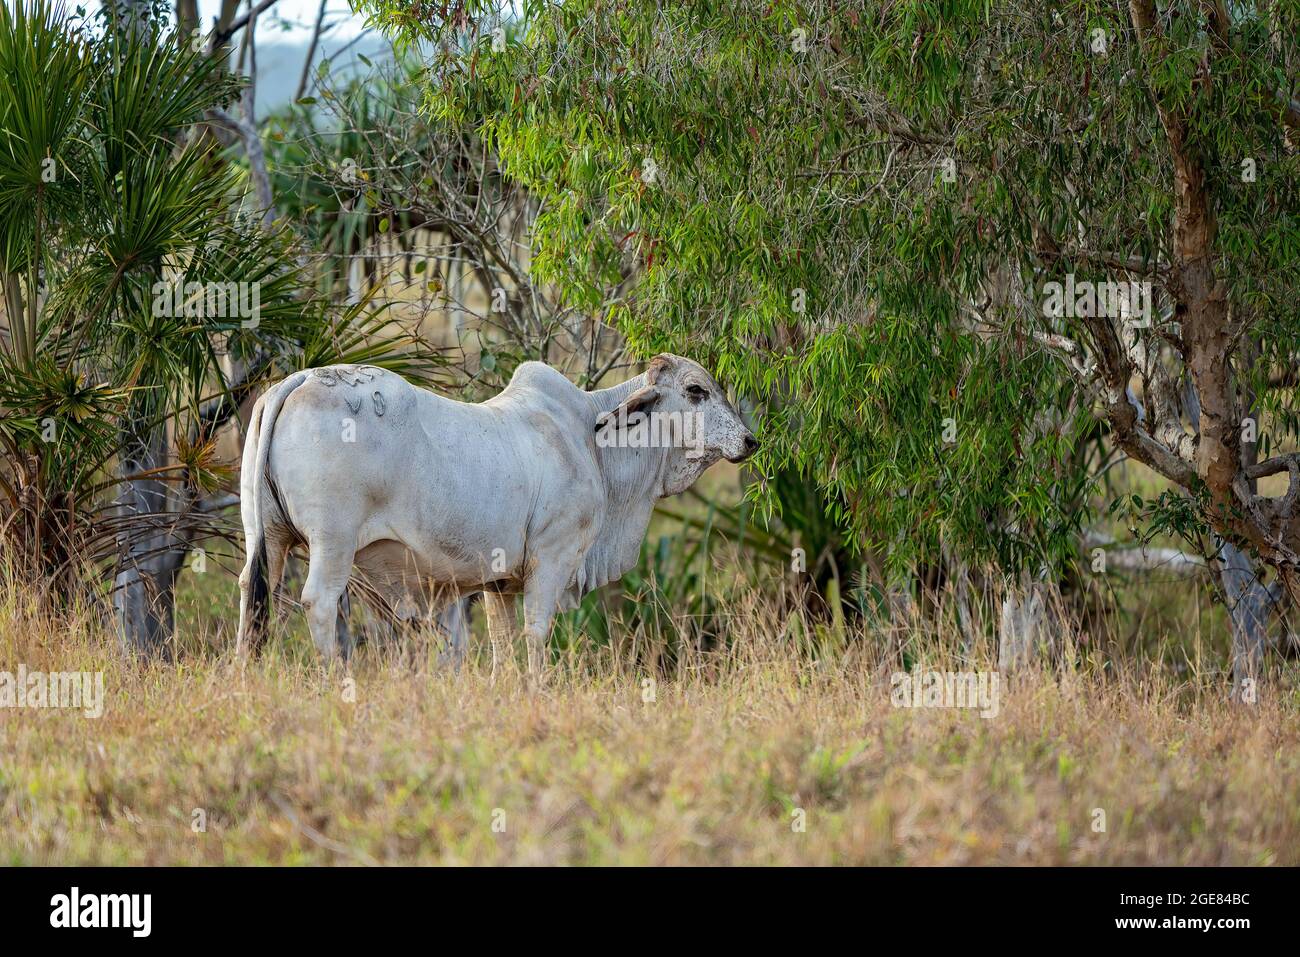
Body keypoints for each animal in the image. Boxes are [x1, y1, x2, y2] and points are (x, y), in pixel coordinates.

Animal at [236, 354, 759, 673]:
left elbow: (504, 645)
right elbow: (535, 635)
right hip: (334, 543)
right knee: (318, 602)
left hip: (268, 538)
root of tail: (298, 378)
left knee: (253, 595)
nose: (750, 441)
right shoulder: (553, 559)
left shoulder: (498, 582)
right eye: (696, 390)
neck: (592, 437)